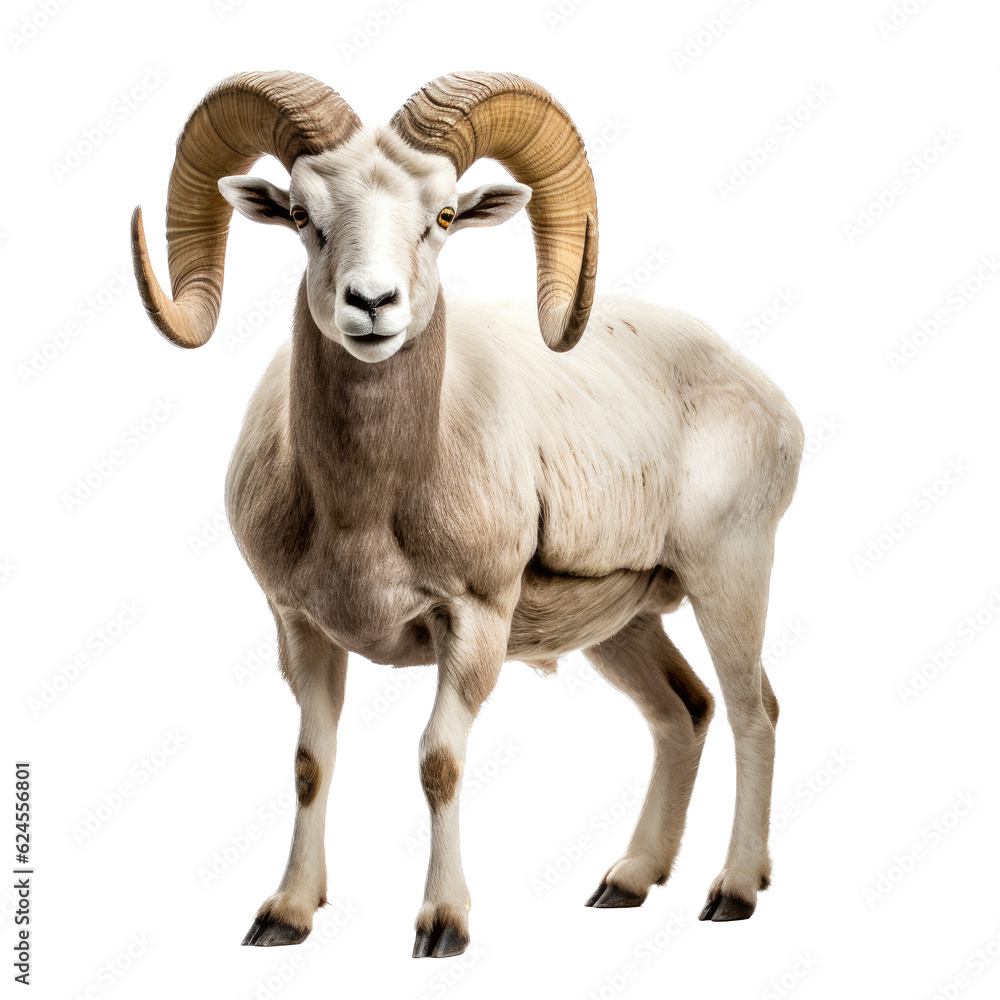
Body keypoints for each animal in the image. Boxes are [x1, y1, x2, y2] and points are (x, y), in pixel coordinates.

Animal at [131, 69, 804, 959]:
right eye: (304, 216)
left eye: (443, 217)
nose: (371, 304)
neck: (362, 513)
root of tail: (763, 391)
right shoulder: (300, 627)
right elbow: (312, 762)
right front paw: (285, 916)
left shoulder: (476, 621)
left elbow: (438, 762)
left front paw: (441, 925)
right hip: (622, 625)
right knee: (682, 712)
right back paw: (625, 884)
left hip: (730, 577)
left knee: (751, 712)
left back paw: (732, 892)